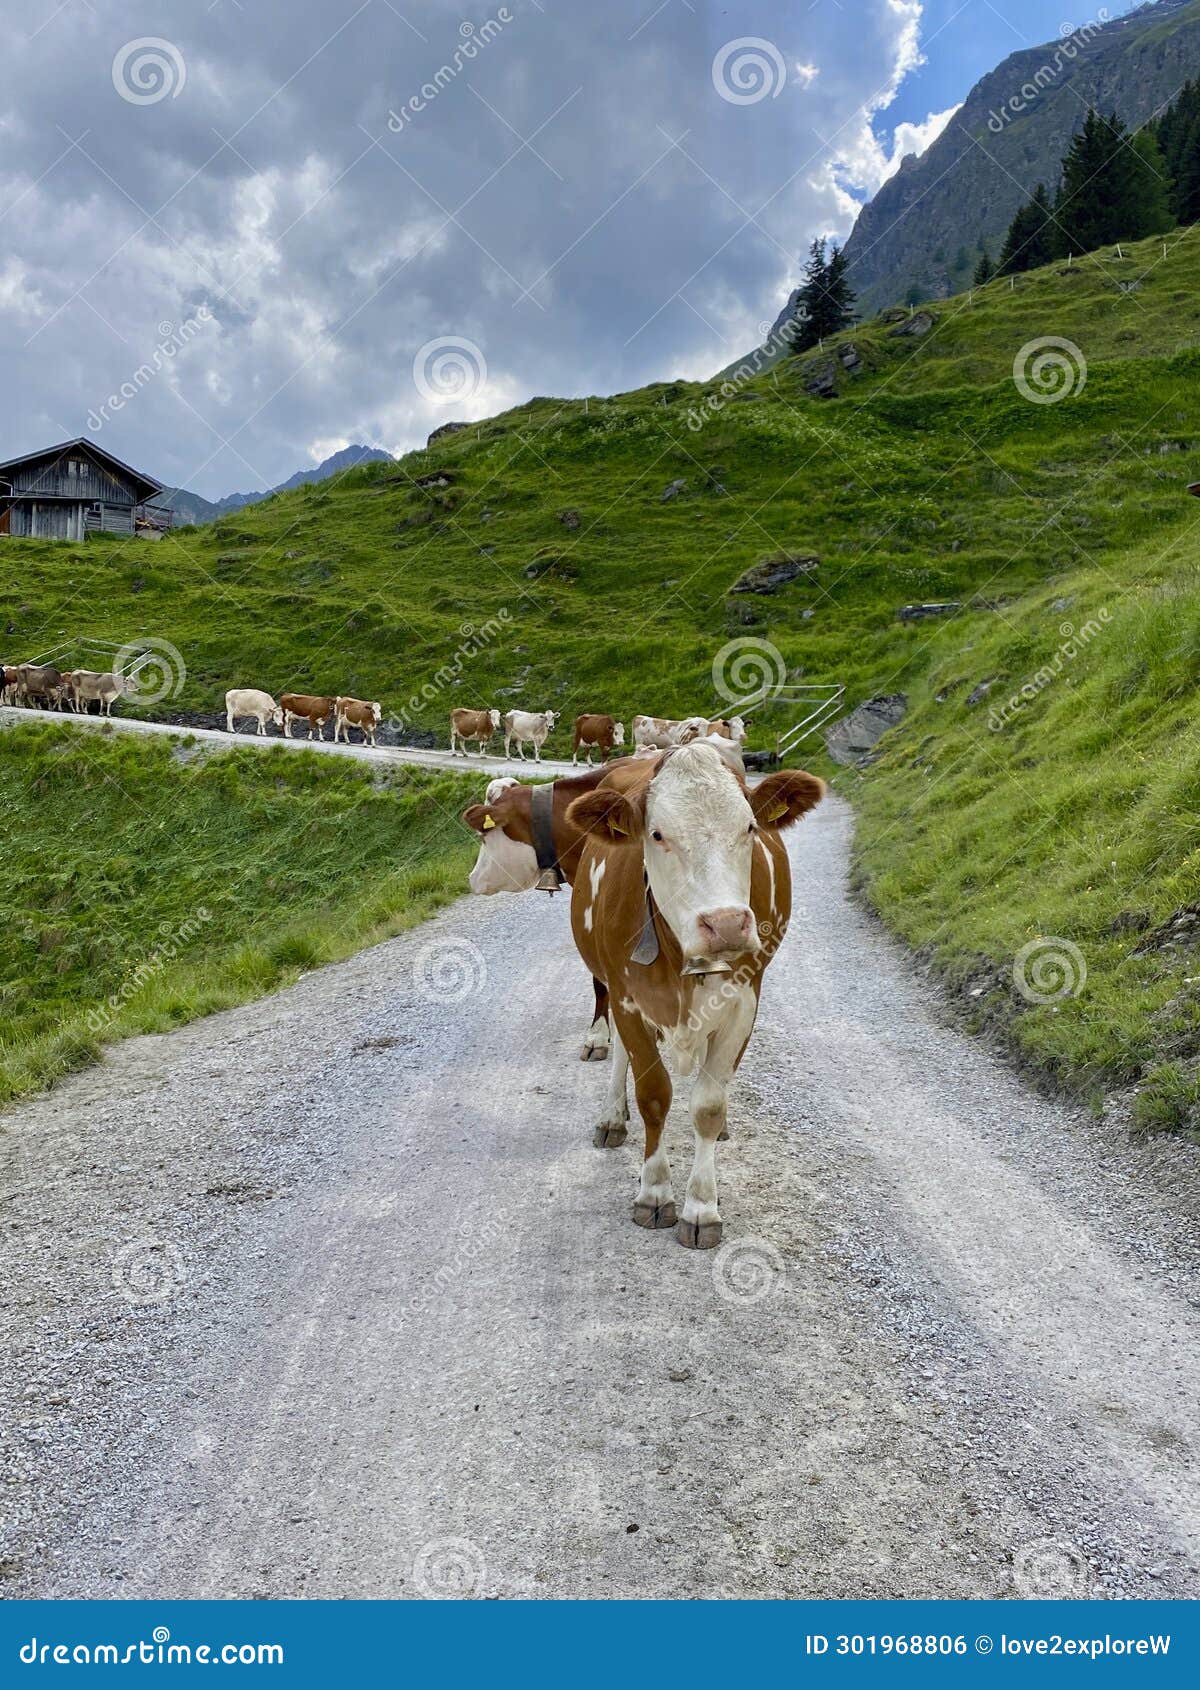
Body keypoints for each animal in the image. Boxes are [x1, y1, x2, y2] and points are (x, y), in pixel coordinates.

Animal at [563, 741, 824, 1246]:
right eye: (658, 834)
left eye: (749, 827)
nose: (725, 924)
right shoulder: (627, 997)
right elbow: (653, 1095)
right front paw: (654, 1193)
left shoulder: (744, 1002)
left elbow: (708, 1103)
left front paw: (702, 1206)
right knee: (621, 1056)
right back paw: (612, 1116)